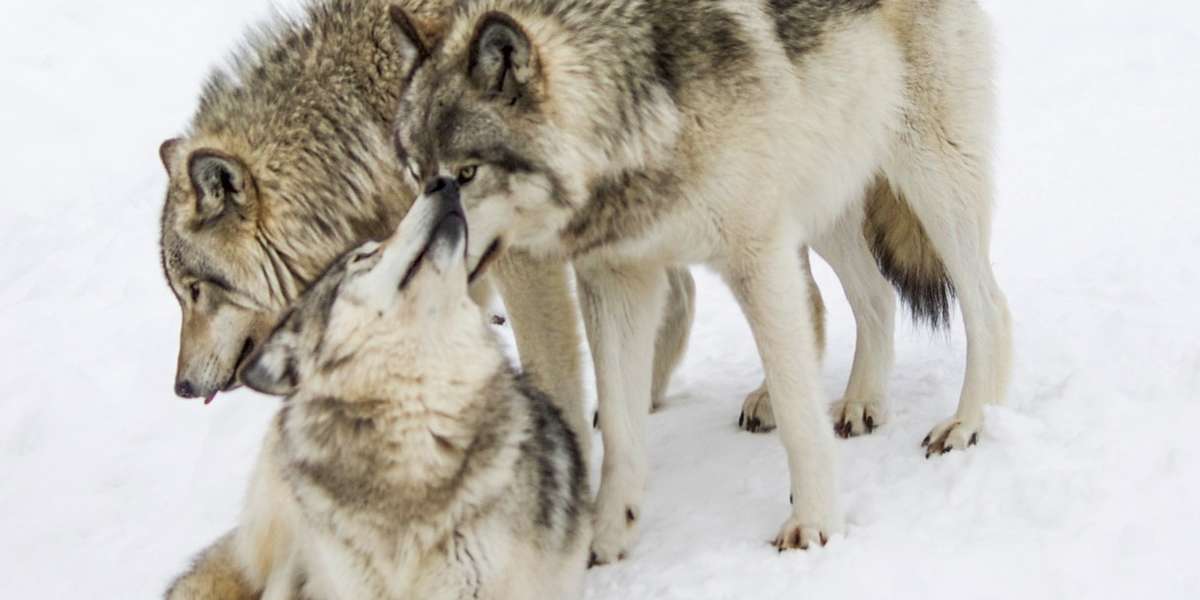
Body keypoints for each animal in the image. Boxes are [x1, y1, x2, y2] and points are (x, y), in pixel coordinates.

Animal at [390, 0, 1013, 561]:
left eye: (467, 173)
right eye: (418, 175)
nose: (418, 241)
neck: (638, 104)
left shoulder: (759, 256)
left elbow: (796, 410)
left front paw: (813, 523)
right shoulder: (617, 279)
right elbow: (619, 423)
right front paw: (605, 535)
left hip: (929, 181)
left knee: (988, 304)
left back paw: (967, 421)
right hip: (824, 200)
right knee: (878, 296)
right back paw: (863, 402)